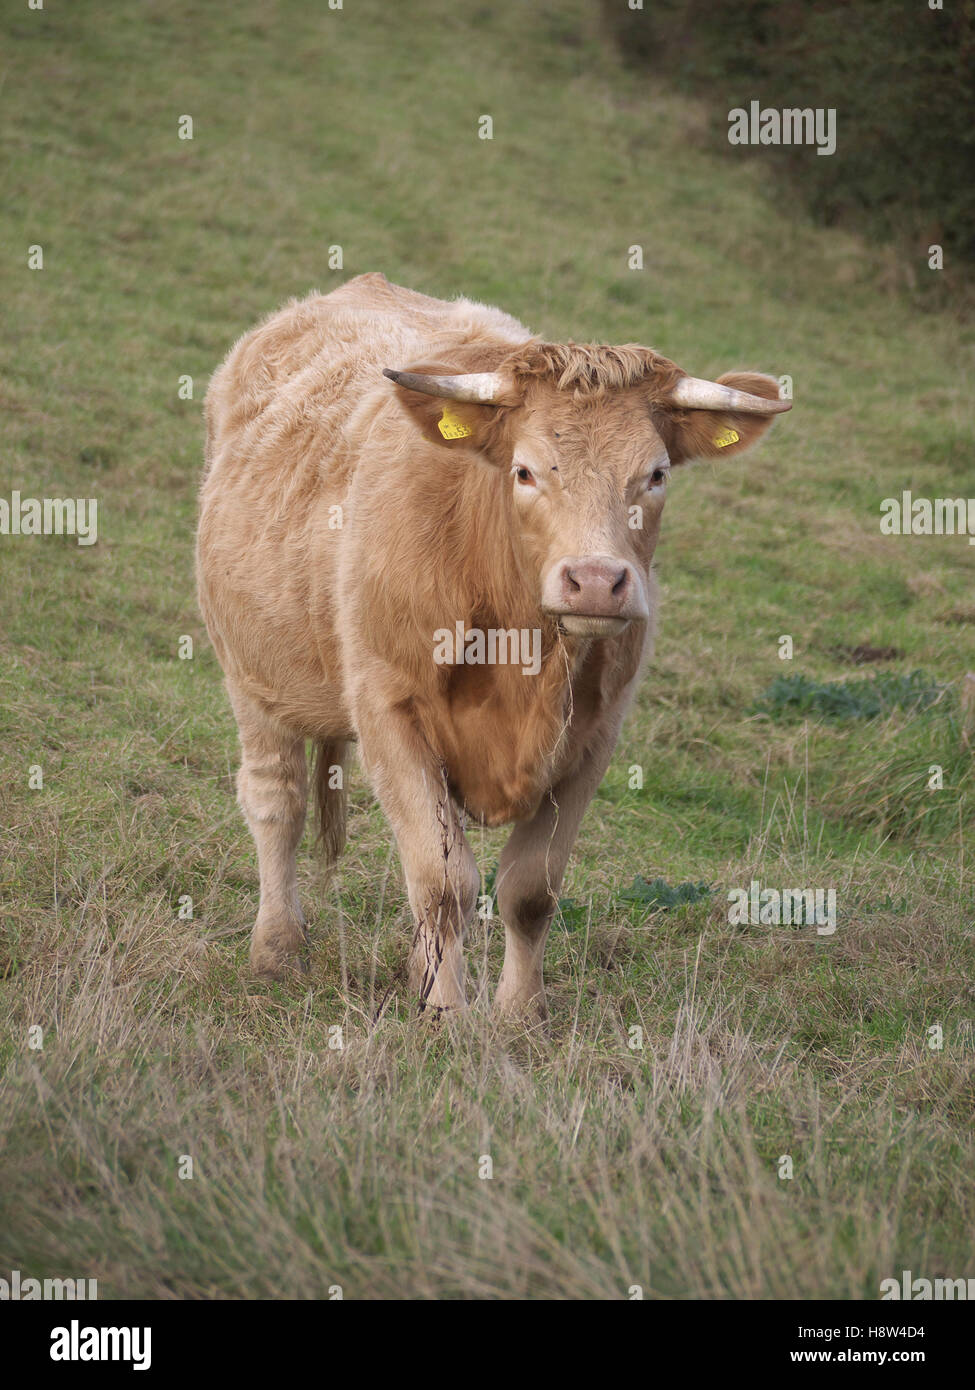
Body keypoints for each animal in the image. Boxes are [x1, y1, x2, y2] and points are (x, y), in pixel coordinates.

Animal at [197, 272, 789, 1021]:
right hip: (251, 677)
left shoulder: (595, 736)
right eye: (525, 471)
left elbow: (529, 888)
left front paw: (518, 1014)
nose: (596, 581)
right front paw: (446, 1014)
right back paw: (277, 951)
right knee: (278, 802)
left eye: (655, 474)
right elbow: (442, 881)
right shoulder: (388, 709)